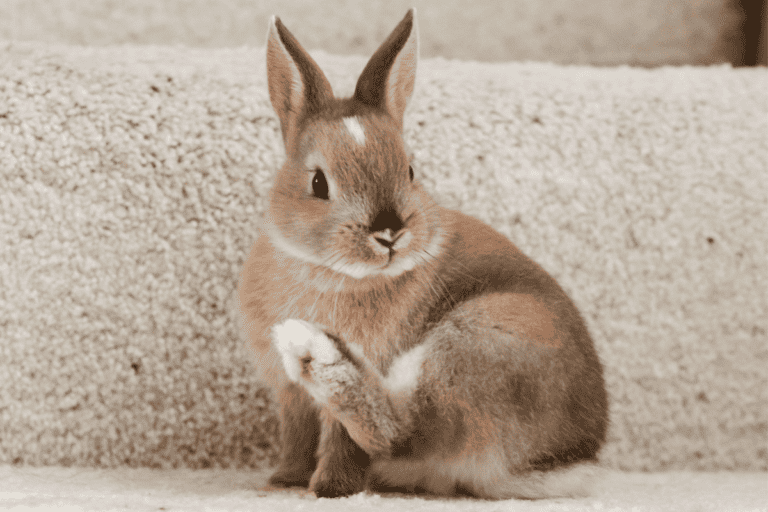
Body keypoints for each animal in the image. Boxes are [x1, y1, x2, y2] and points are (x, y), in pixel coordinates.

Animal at [238, 8, 609, 500]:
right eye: (318, 183)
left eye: (410, 171)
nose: (390, 234)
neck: (329, 270)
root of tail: (556, 459)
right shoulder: (291, 400)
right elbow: (297, 436)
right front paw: (285, 480)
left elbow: (343, 444)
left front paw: (330, 490)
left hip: (473, 343)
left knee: (404, 432)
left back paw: (313, 349)